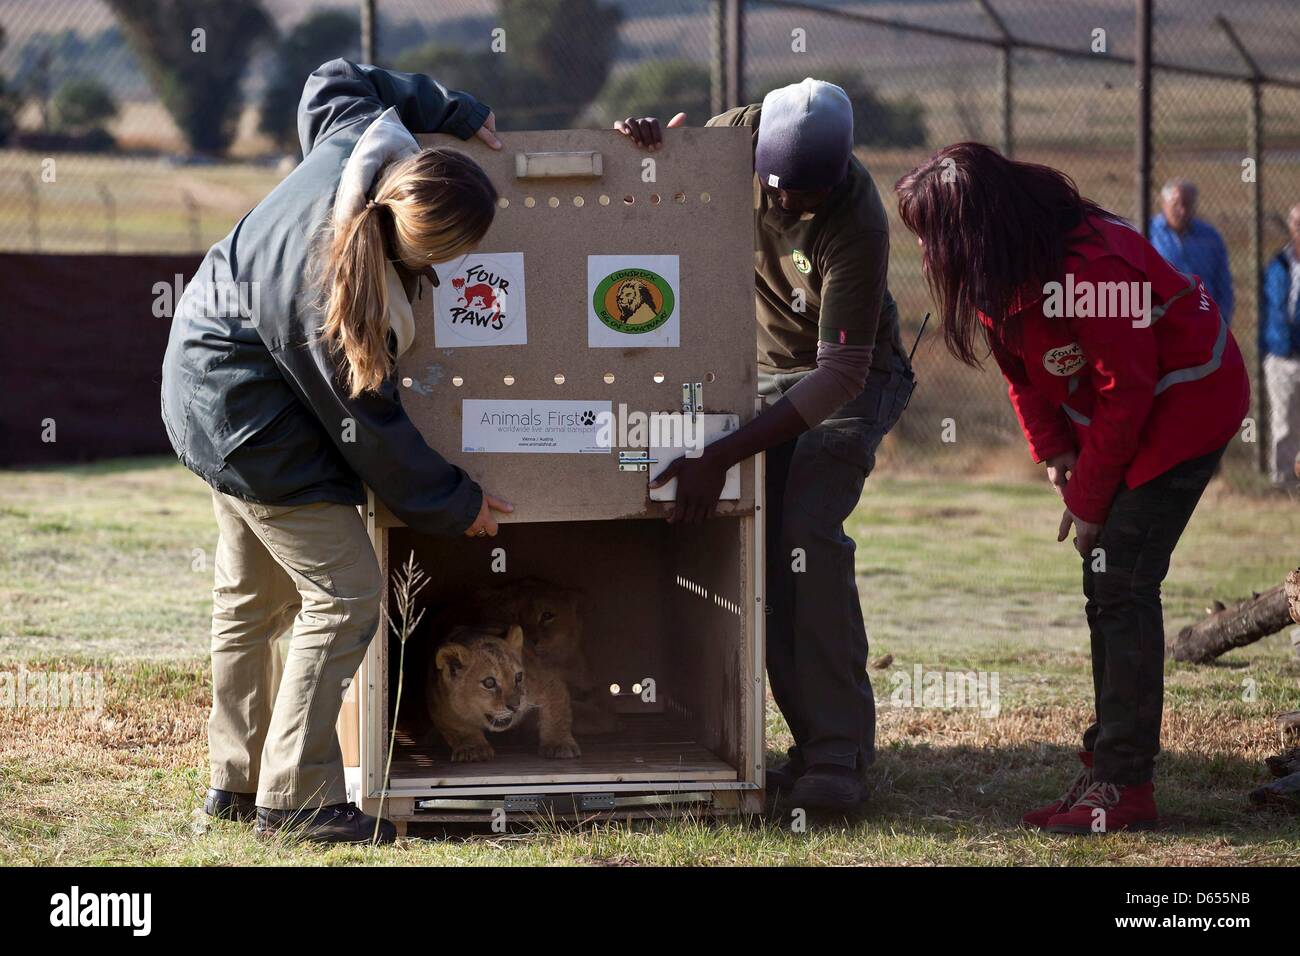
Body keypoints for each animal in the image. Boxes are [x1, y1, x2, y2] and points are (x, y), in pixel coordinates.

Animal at [427, 622, 581, 762]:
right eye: (489, 682)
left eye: (518, 677)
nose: (516, 706)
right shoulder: (440, 704)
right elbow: (459, 728)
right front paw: (473, 749)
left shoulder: (547, 682)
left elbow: (557, 714)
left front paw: (560, 745)